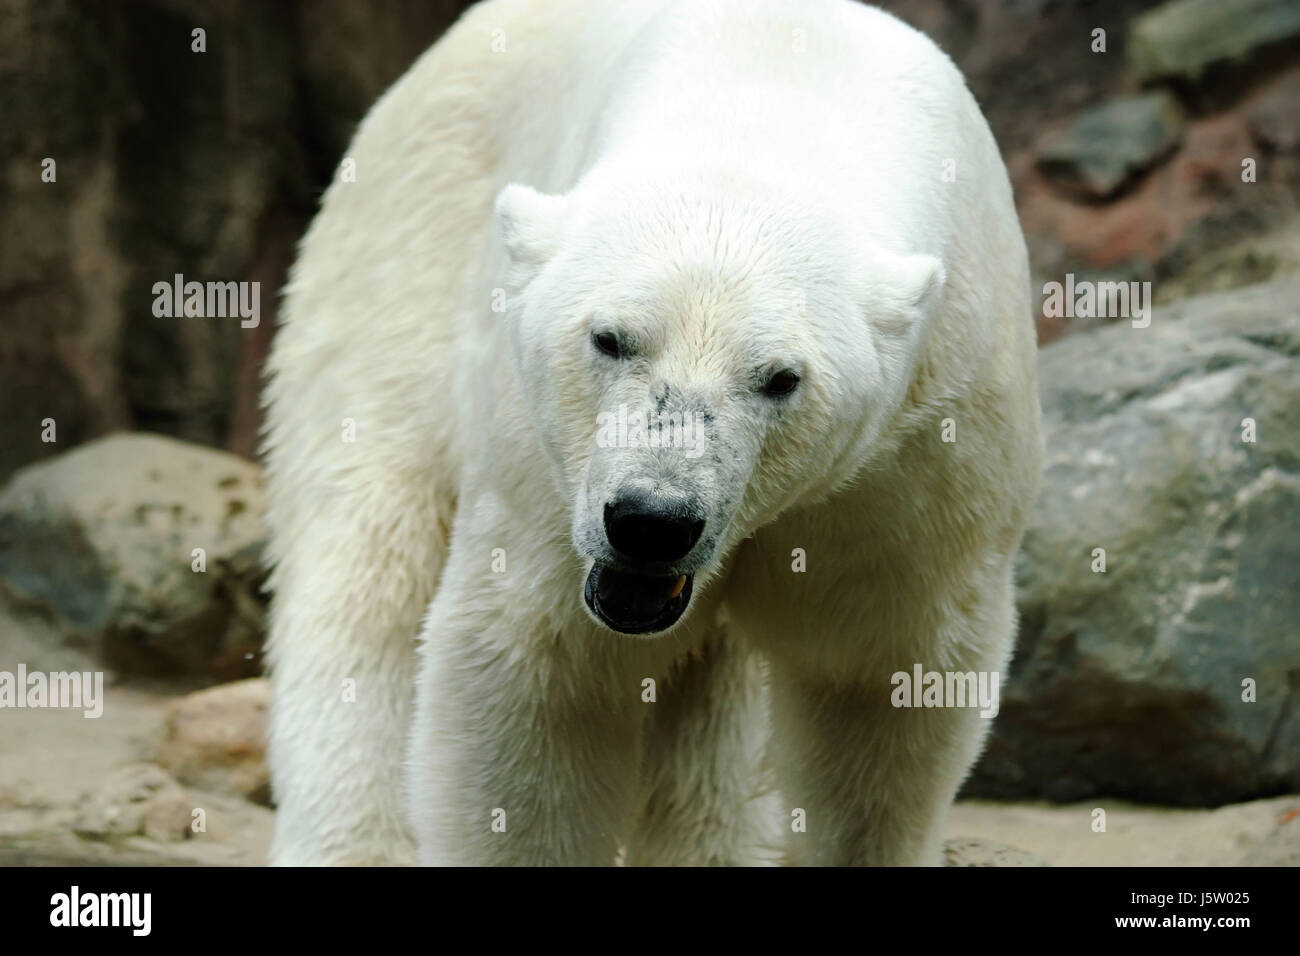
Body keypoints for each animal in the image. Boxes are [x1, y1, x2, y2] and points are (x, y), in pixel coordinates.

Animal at [262, 0, 1041, 866]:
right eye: (610, 339)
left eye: (780, 378)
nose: (652, 521)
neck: (772, 101)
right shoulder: (545, 467)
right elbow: (537, 684)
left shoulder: (916, 456)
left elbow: (879, 686)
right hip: (401, 262)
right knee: (369, 557)